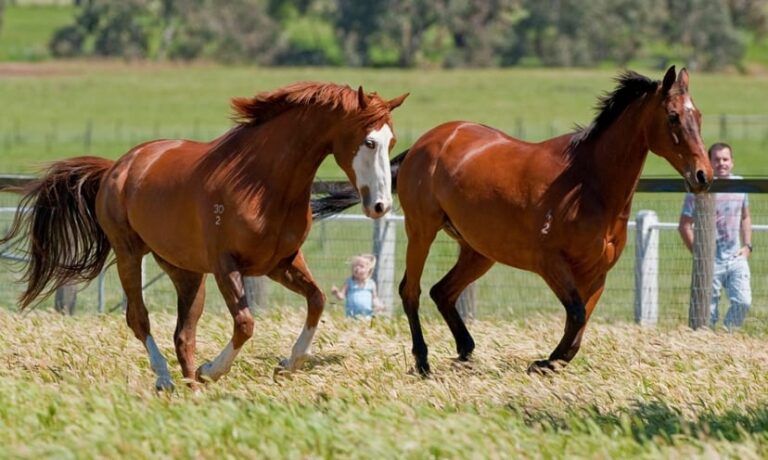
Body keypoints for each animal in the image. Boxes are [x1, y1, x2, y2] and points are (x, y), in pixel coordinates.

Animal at [0, 82, 408, 390]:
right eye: (369, 142)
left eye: (391, 141)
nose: (381, 205)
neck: (261, 182)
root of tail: (118, 166)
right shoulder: (226, 265)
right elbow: (245, 324)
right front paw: (214, 370)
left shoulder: (280, 263)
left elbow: (317, 301)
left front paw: (287, 364)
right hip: (129, 253)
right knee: (138, 318)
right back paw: (166, 379)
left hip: (186, 272)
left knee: (184, 333)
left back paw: (191, 388)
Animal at [315, 66, 713, 375]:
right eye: (673, 116)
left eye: (699, 116)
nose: (703, 175)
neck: (587, 184)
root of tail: (424, 143)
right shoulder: (551, 264)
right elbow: (576, 314)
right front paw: (542, 362)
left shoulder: (597, 273)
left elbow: (580, 325)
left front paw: (551, 362)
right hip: (422, 231)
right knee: (410, 290)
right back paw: (423, 360)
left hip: (478, 251)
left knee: (442, 291)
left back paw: (465, 350)